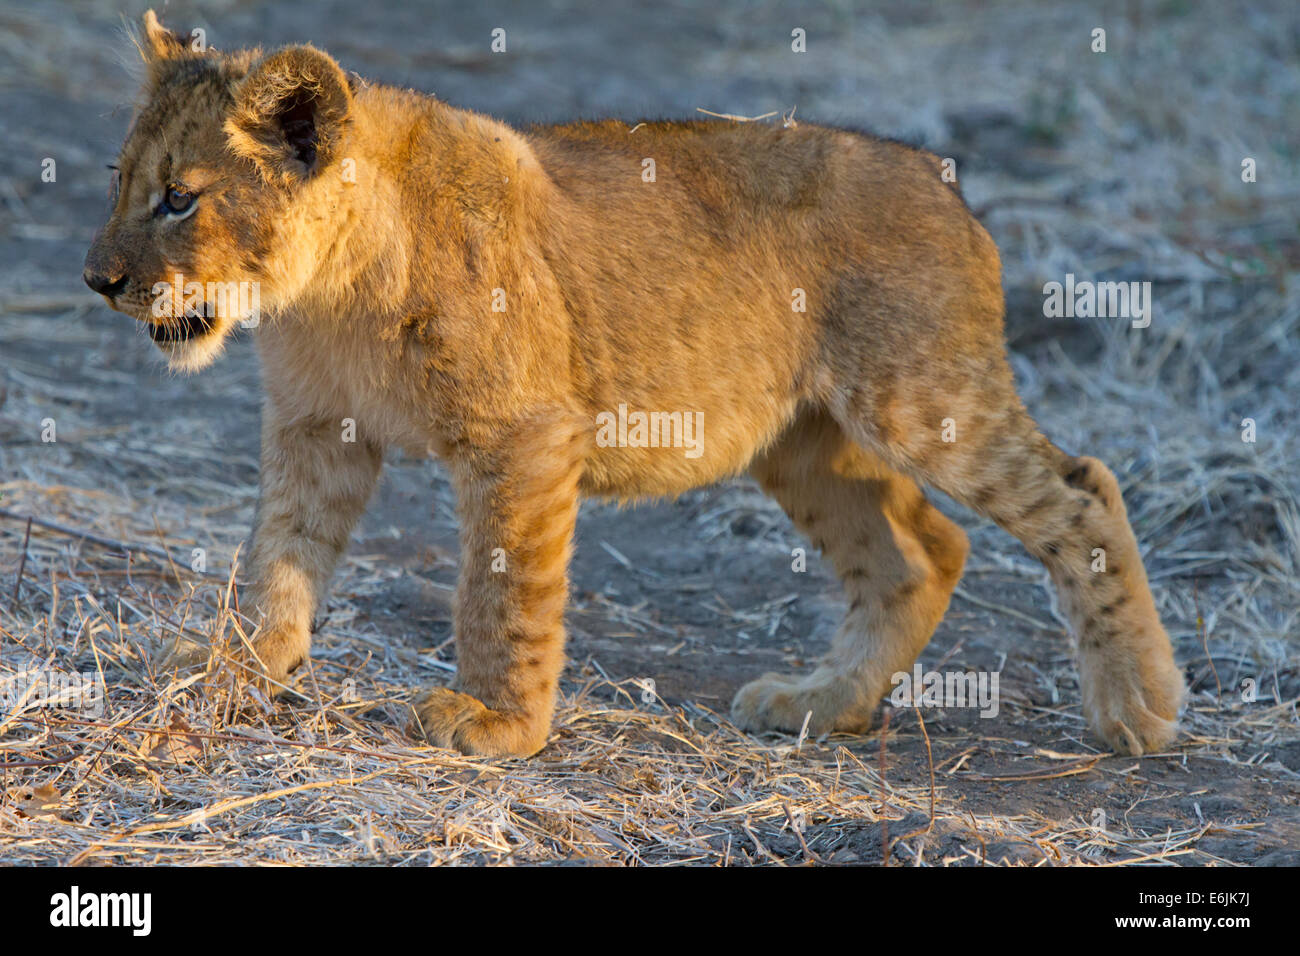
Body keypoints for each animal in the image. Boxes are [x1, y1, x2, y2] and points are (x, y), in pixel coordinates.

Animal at [83, 10, 1186, 757]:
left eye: (180, 199)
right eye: (117, 184)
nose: (98, 280)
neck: (326, 291)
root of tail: (940, 178)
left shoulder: (523, 434)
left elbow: (501, 588)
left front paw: (498, 721)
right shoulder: (318, 427)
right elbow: (275, 554)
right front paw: (235, 665)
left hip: (921, 399)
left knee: (1082, 490)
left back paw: (1139, 706)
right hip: (804, 441)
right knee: (921, 551)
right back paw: (821, 704)